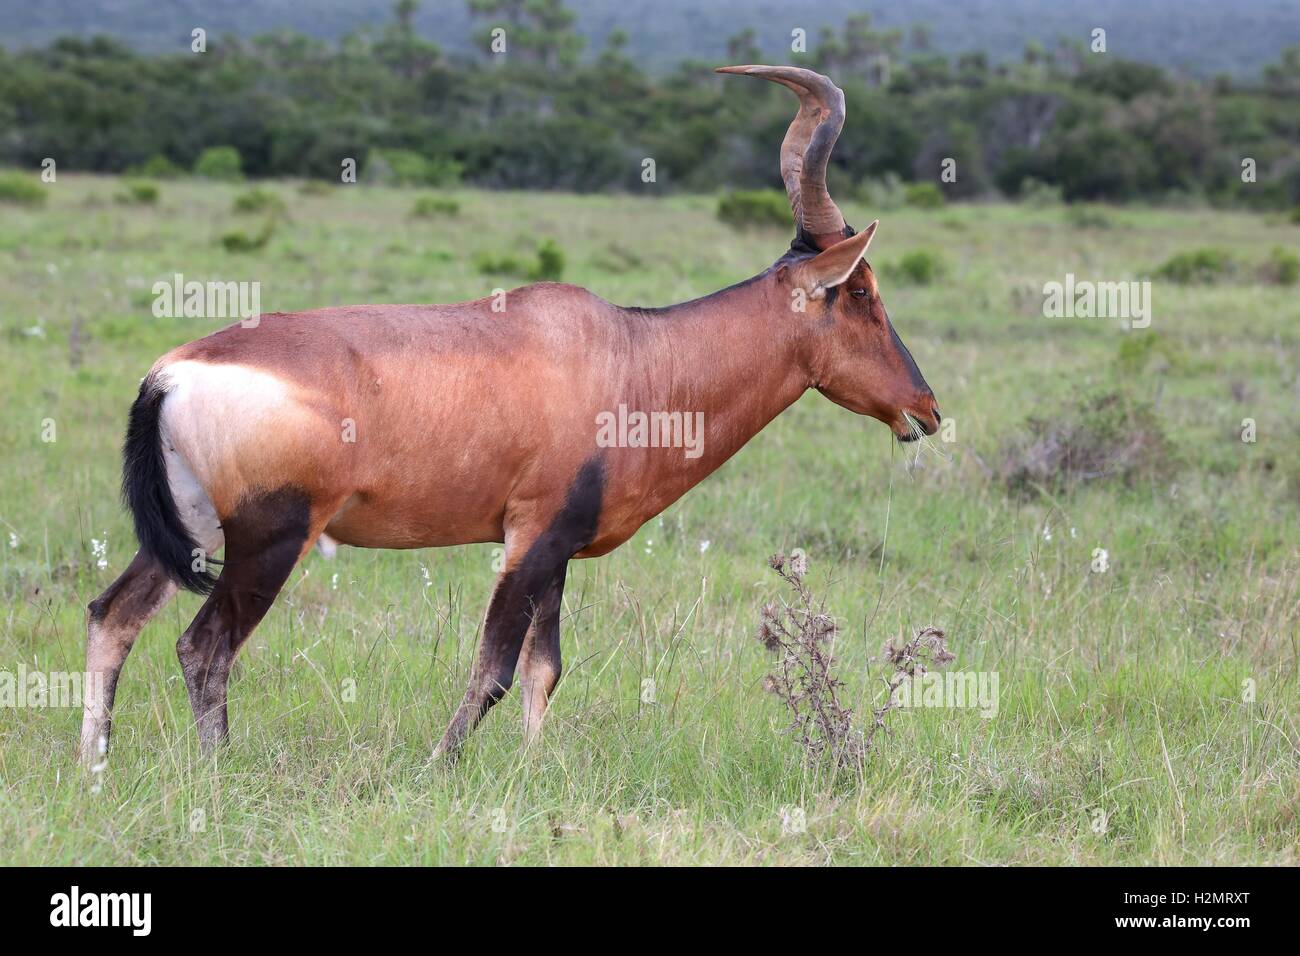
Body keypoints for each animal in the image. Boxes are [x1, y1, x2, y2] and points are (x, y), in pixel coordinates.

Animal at [78, 65, 935, 764]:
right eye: (861, 290)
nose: (923, 408)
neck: (627, 350)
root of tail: (170, 373)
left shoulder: (554, 548)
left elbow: (543, 670)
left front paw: (528, 774)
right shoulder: (529, 543)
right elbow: (491, 670)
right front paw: (436, 768)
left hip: (190, 528)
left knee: (111, 615)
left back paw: (96, 771)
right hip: (268, 537)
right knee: (204, 648)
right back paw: (215, 773)